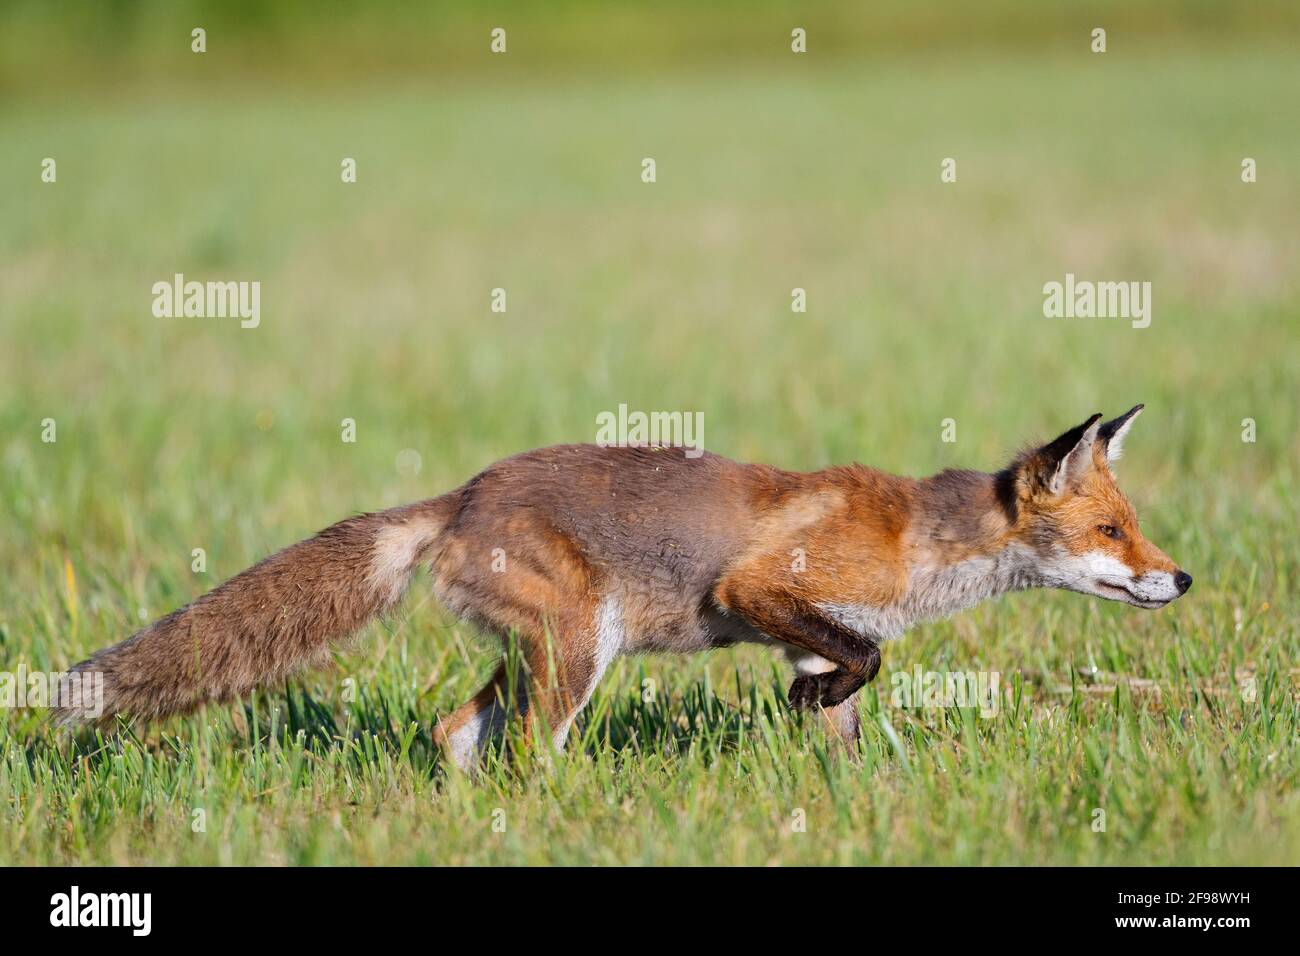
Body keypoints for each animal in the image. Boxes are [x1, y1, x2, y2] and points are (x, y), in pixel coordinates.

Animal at [55, 404, 1191, 766]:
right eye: (1109, 531)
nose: (1180, 577)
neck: (917, 546)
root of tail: (463, 494)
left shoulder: (808, 632)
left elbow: (851, 715)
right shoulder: (758, 590)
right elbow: (869, 659)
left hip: (537, 654)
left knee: (454, 733)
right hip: (578, 650)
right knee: (523, 750)